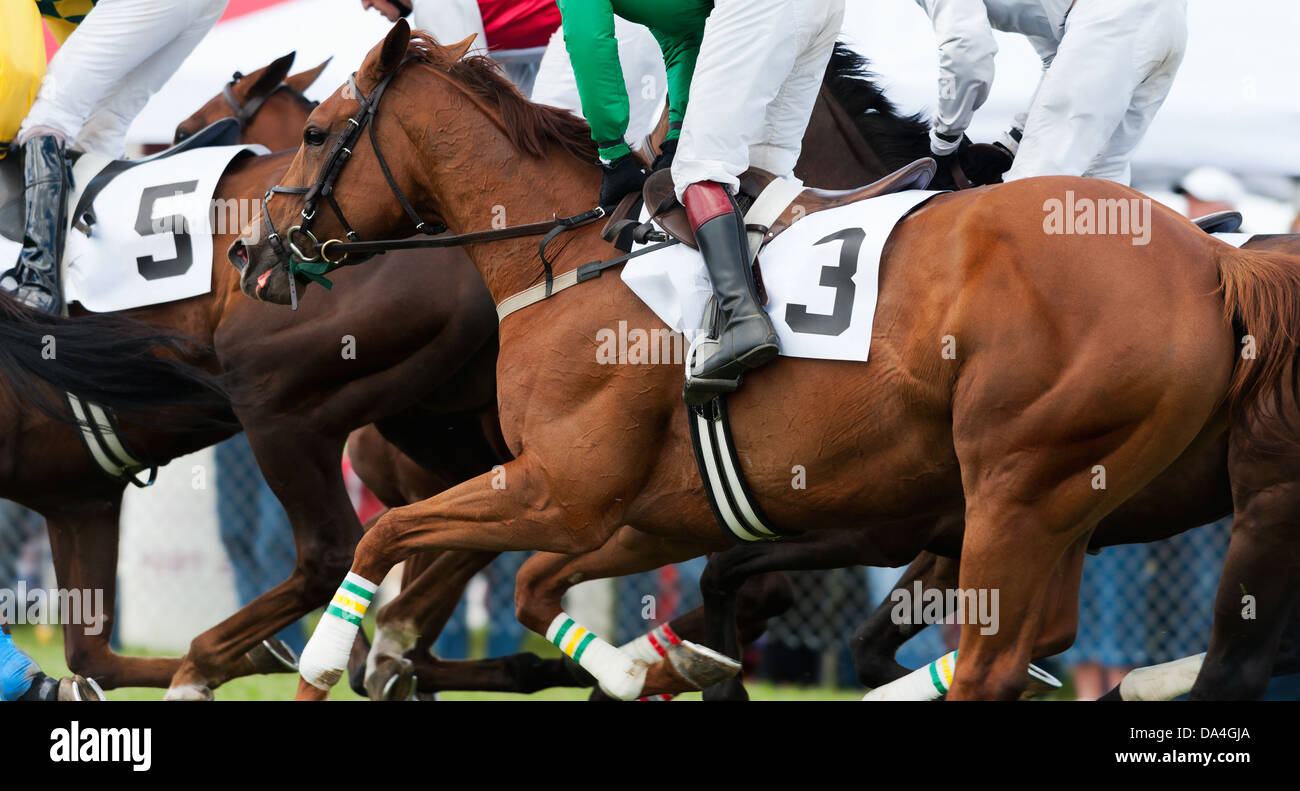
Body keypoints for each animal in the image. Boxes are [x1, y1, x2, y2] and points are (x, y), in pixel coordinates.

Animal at [237, 22, 1300, 701]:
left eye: (319, 132)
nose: (250, 252)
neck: (567, 255)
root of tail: (1208, 259)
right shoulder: (663, 508)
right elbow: (547, 587)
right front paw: (651, 665)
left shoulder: (564, 488)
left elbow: (384, 534)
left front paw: (324, 659)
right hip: (1065, 501)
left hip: (1026, 491)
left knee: (1015, 661)